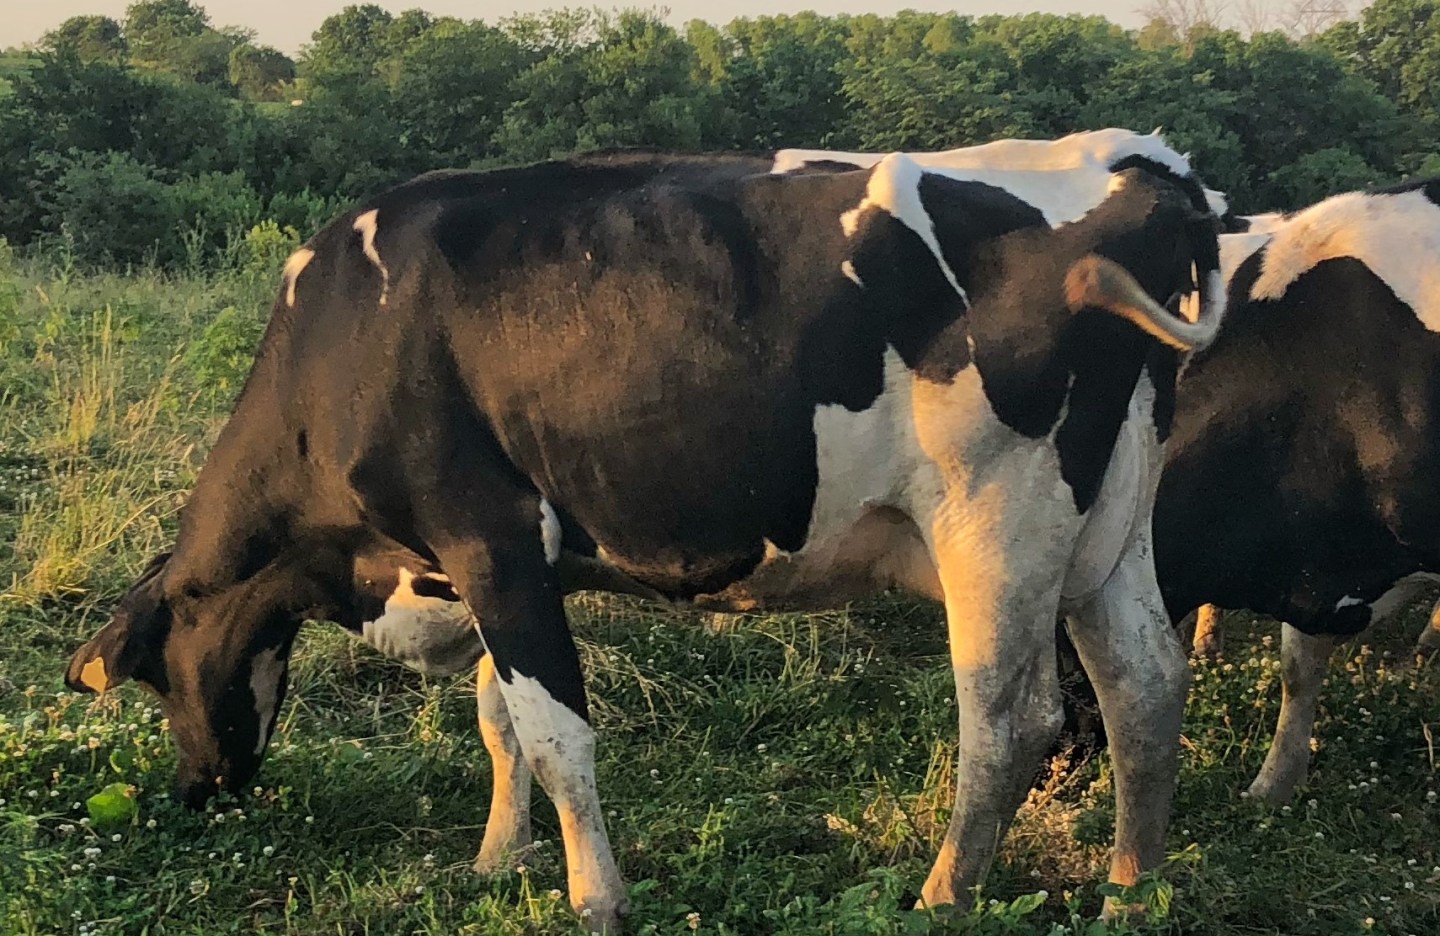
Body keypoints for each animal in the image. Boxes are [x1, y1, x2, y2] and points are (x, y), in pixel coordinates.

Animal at [63, 150, 1223, 931]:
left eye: (157, 678)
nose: (194, 790)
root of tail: (1138, 173)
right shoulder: (515, 566)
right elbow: (500, 719)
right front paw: (498, 860)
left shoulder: (488, 537)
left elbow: (554, 736)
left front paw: (596, 899)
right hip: (1111, 531)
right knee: (1144, 687)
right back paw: (1134, 890)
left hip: (995, 522)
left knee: (1009, 719)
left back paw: (942, 898)